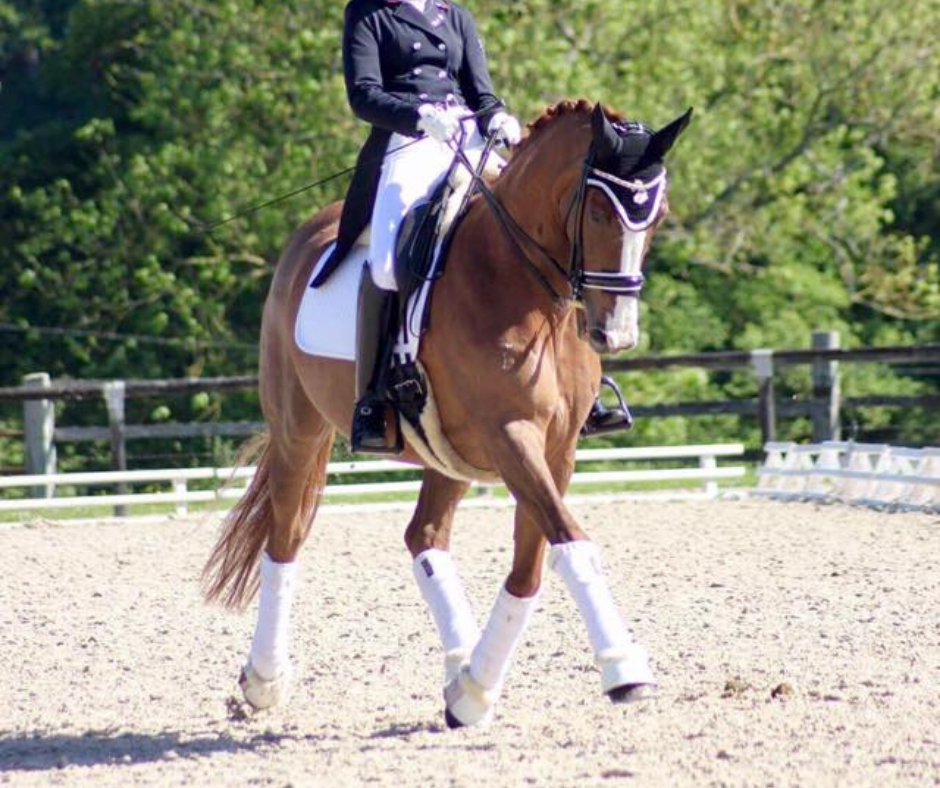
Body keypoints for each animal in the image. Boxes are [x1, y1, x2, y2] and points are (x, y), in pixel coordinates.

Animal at [203, 98, 692, 727]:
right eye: (602, 213)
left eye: (657, 217)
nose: (617, 335)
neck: (520, 287)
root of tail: (308, 237)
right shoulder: (511, 436)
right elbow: (573, 545)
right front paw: (625, 670)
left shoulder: (556, 448)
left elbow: (532, 567)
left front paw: (475, 690)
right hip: (298, 431)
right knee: (284, 540)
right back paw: (264, 680)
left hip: (447, 453)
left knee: (424, 536)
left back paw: (460, 667)